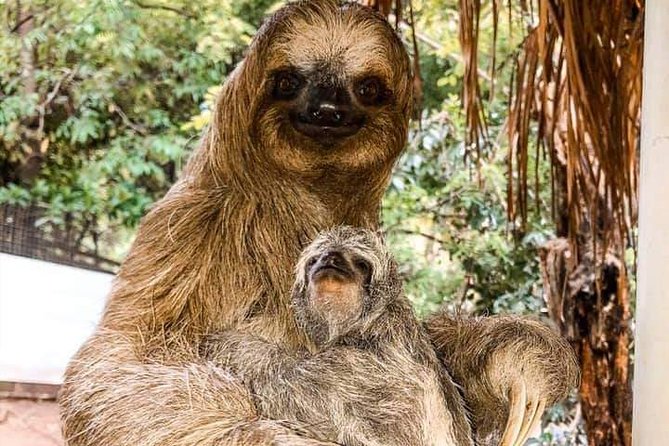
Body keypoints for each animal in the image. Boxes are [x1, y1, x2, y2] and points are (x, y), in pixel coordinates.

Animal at [201, 226, 474, 446]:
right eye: (314, 260)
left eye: (361, 263)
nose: (330, 260)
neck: (366, 326)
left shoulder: (366, 365)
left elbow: (288, 385)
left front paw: (222, 341)